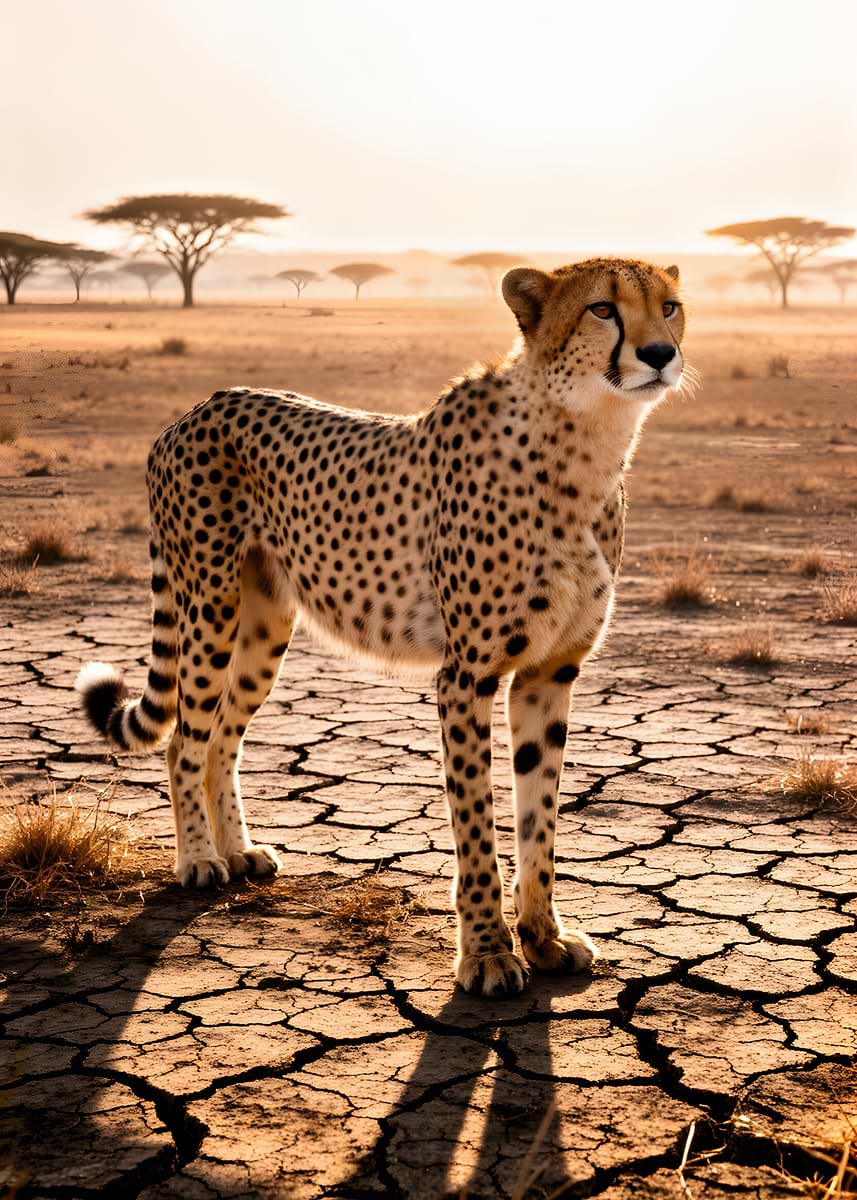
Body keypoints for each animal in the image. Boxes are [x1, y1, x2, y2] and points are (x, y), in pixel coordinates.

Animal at [76, 256, 687, 997]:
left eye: (670, 305)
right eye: (602, 308)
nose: (659, 354)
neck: (586, 441)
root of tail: (200, 406)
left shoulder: (549, 672)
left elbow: (537, 818)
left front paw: (543, 938)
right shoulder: (467, 675)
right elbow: (477, 824)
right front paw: (487, 954)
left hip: (265, 626)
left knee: (223, 737)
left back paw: (241, 850)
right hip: (210, 607)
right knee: (182, 742)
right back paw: (198, 860)